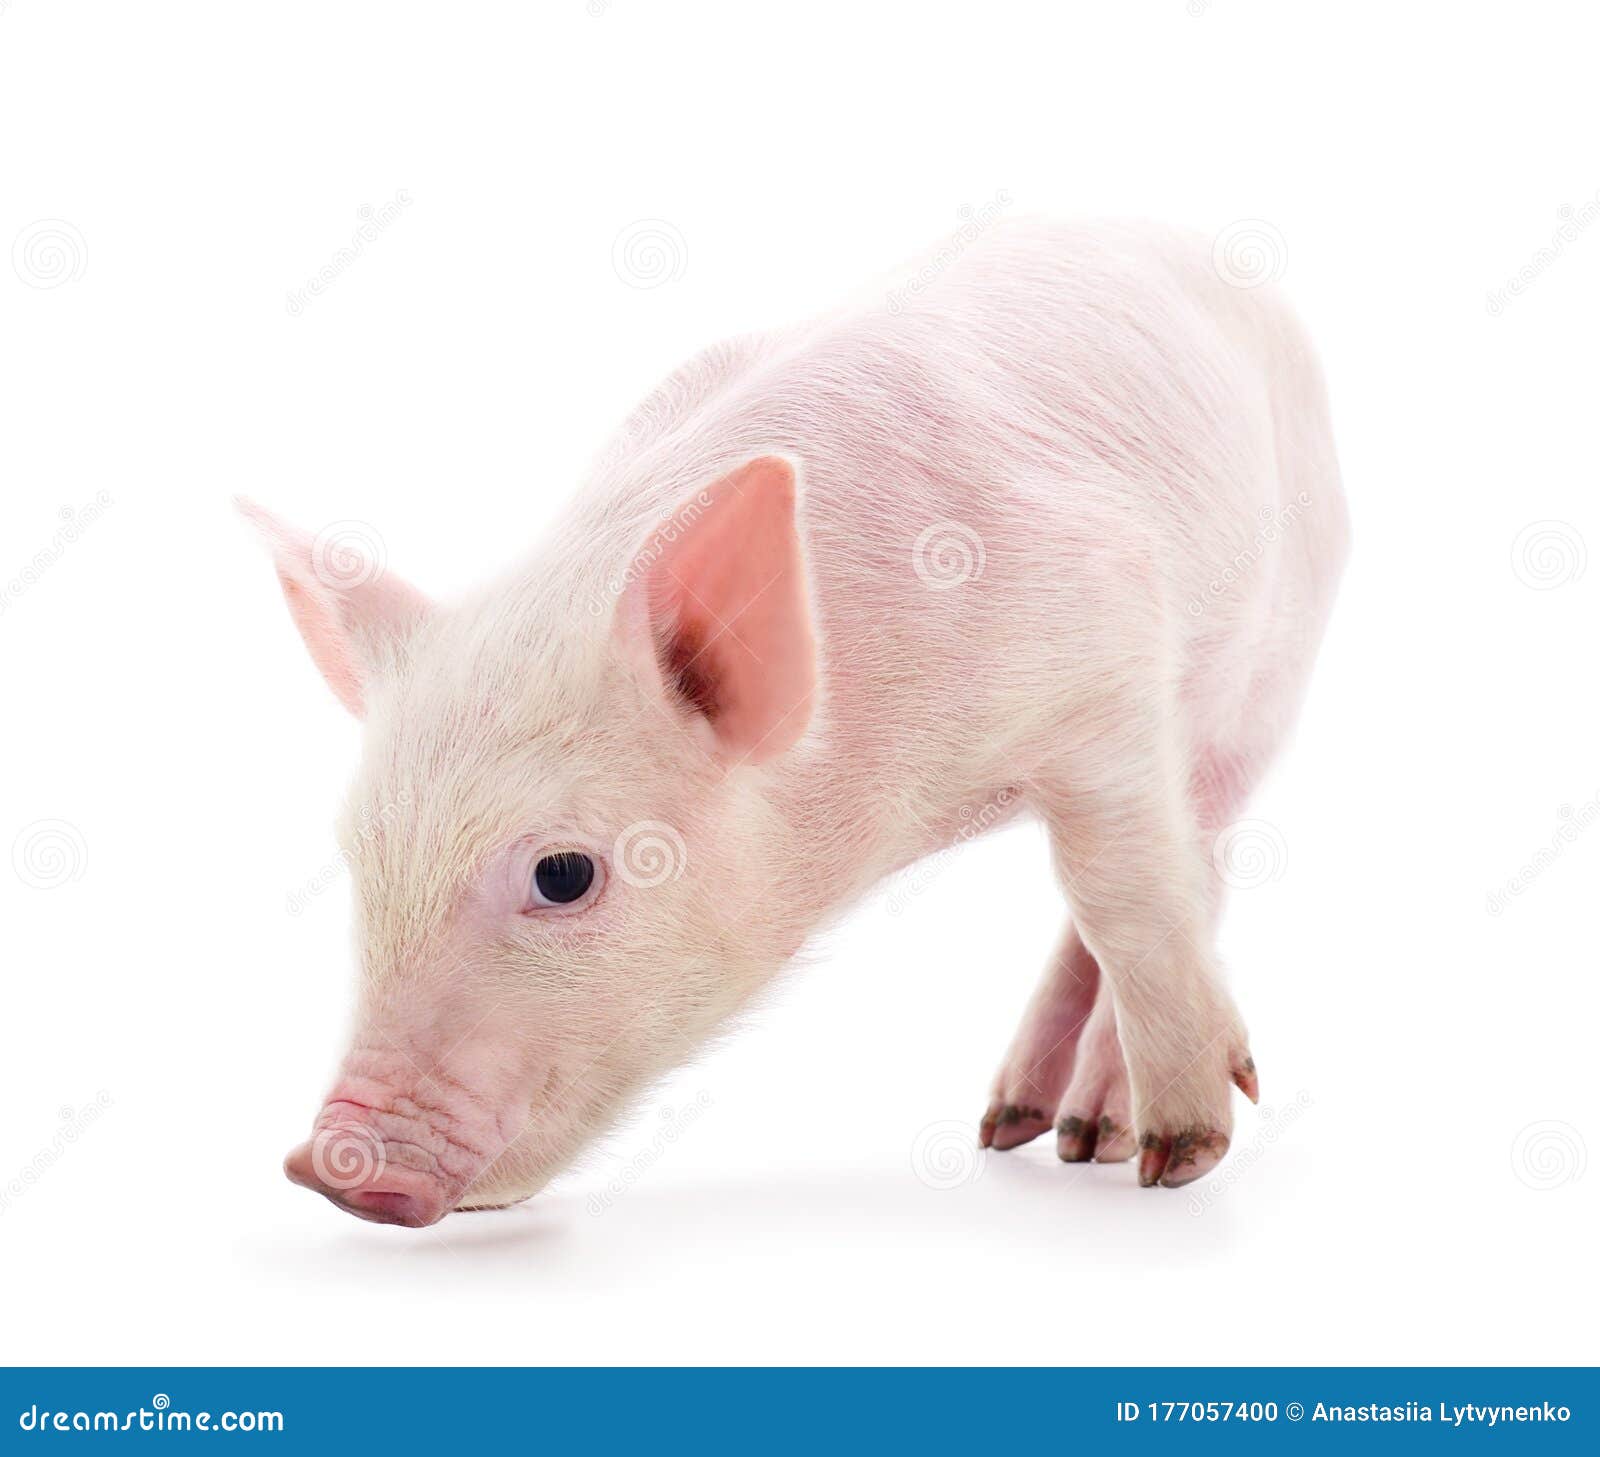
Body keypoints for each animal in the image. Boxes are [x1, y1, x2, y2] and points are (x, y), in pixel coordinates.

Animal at [244, 218, 1347, 1226]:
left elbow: (1120, 897)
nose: (329, 1165)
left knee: (1193, 855)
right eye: (358, 855)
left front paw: (1187, 1156)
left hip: (1272, 663)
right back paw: (1019, 1128)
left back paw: (1090, 1133)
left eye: (563, 874)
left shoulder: (1108, 667)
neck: (911, 797)